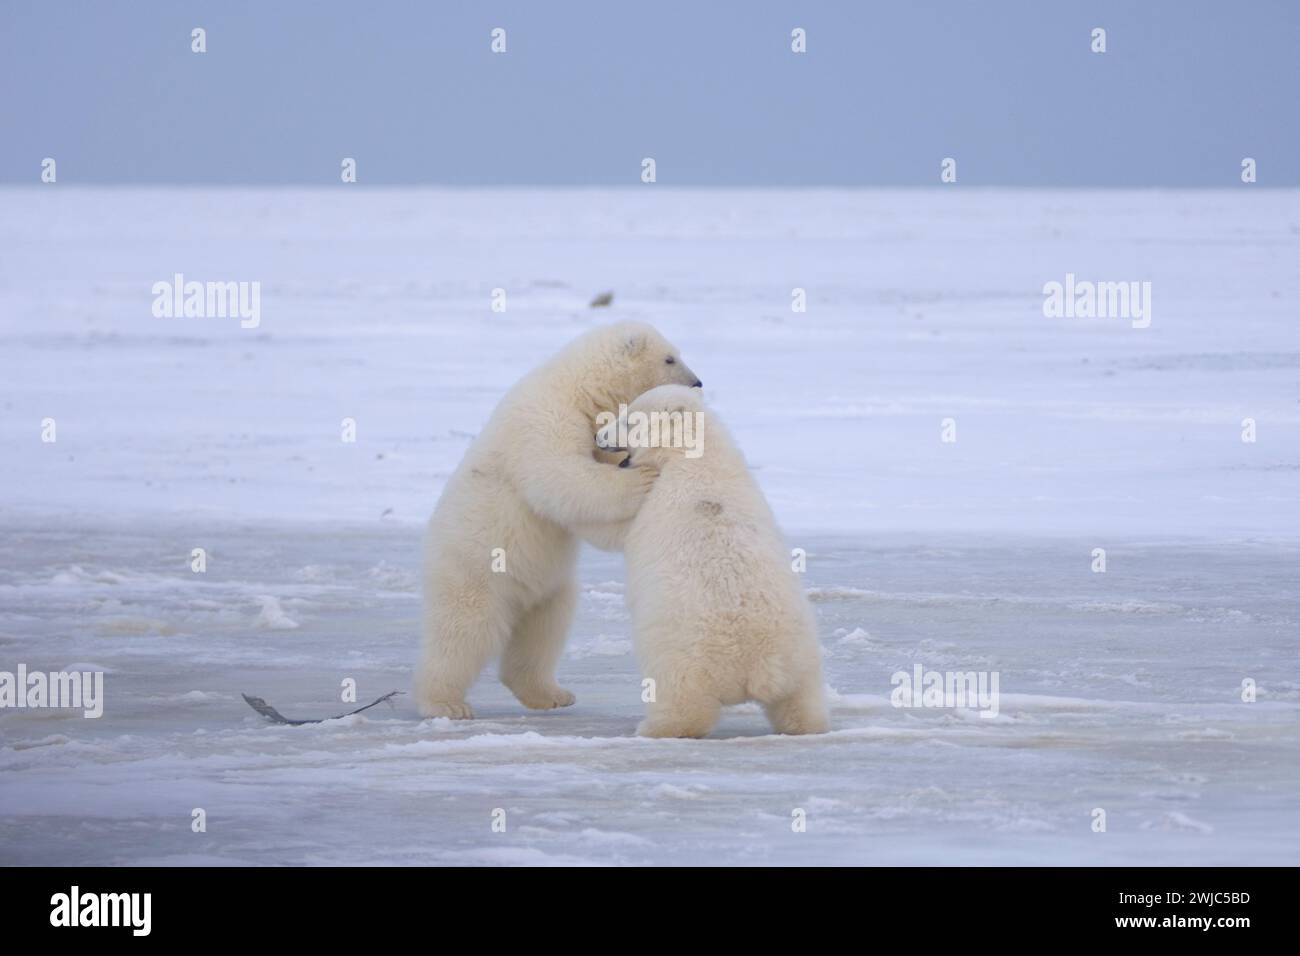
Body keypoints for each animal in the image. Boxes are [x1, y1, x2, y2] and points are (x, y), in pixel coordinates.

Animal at [415, 322, 702, 719]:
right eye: (670, 358)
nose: (697, 383)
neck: (576, 389)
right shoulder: (546, 420)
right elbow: (563, 477)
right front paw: (641, 480)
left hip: (548, 587)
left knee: (544, 631)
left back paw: (549, 693)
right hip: (475, 569)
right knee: (463, 632)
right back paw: (444, 702)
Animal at [596, 384, 830, 738]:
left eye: (628, 421)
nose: (598, 435)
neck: (691, 456)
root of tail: (756, 665)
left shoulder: (654, 500)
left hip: (681, 654)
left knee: (682, 699)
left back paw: (654, 726)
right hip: (801, 653)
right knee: (800, 698)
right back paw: (807, 724)